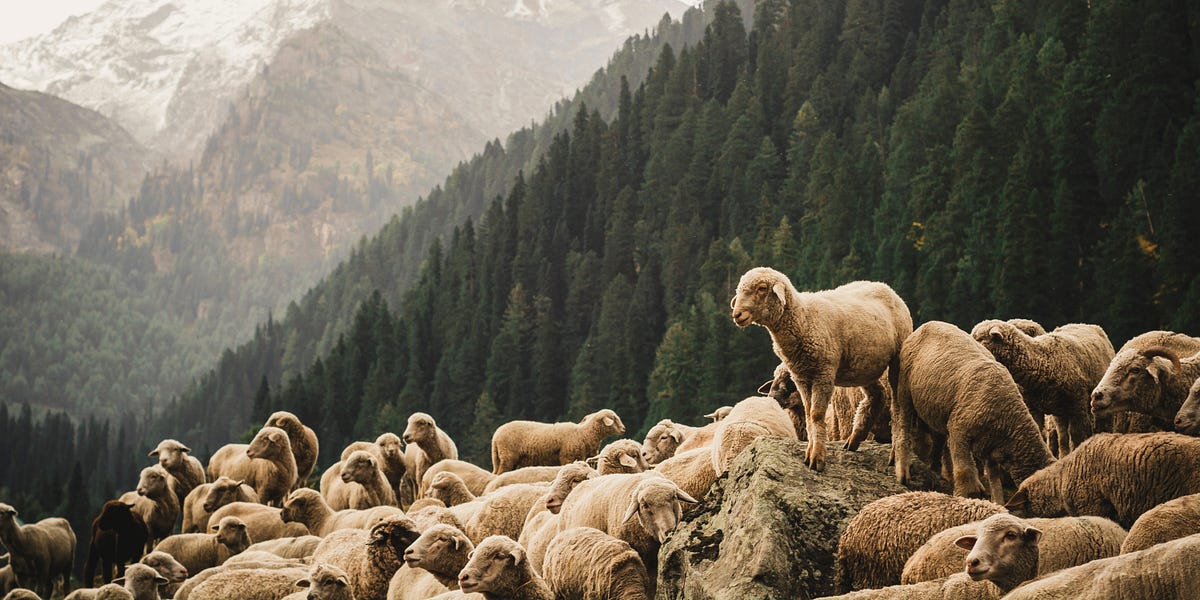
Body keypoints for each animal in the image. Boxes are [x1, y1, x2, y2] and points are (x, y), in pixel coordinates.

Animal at [490, 409, 625, 475]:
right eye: (614, 419)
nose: (624, 429)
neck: (584, 434)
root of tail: (496, 436)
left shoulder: (587, 459)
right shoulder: (568, 456)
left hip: (500, 457)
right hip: (508, 456)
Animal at [730, 268, 913, 471]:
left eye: (762, 288)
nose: (737, 314)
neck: (804, 318)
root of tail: (885, 287)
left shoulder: (823, 372)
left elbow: (816, 414)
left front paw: (817, 457)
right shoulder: (801, 376)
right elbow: (809, 414)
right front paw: (810, 451)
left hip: (897, 358)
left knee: (897, 407)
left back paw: (895, 453)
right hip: (865, 367)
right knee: (877, 395)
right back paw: (854, 440)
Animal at [892, 321, 1056, 501]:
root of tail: (926, 325)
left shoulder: (990, 448)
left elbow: (995, 480)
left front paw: (997, 502)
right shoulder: (959, 431)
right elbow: (964, 470)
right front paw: (963, 496)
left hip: (935, 410)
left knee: (935, 442)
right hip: (905, 391)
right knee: (904, 429)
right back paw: (903, 471)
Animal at [970, 321, 1115, 456]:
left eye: (980, 339)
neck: (1045, 361)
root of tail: (1085, 324)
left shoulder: (1078, 405)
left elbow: (1077, 435)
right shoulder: (1033, 408)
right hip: (1060, 412)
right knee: (1063, 436)